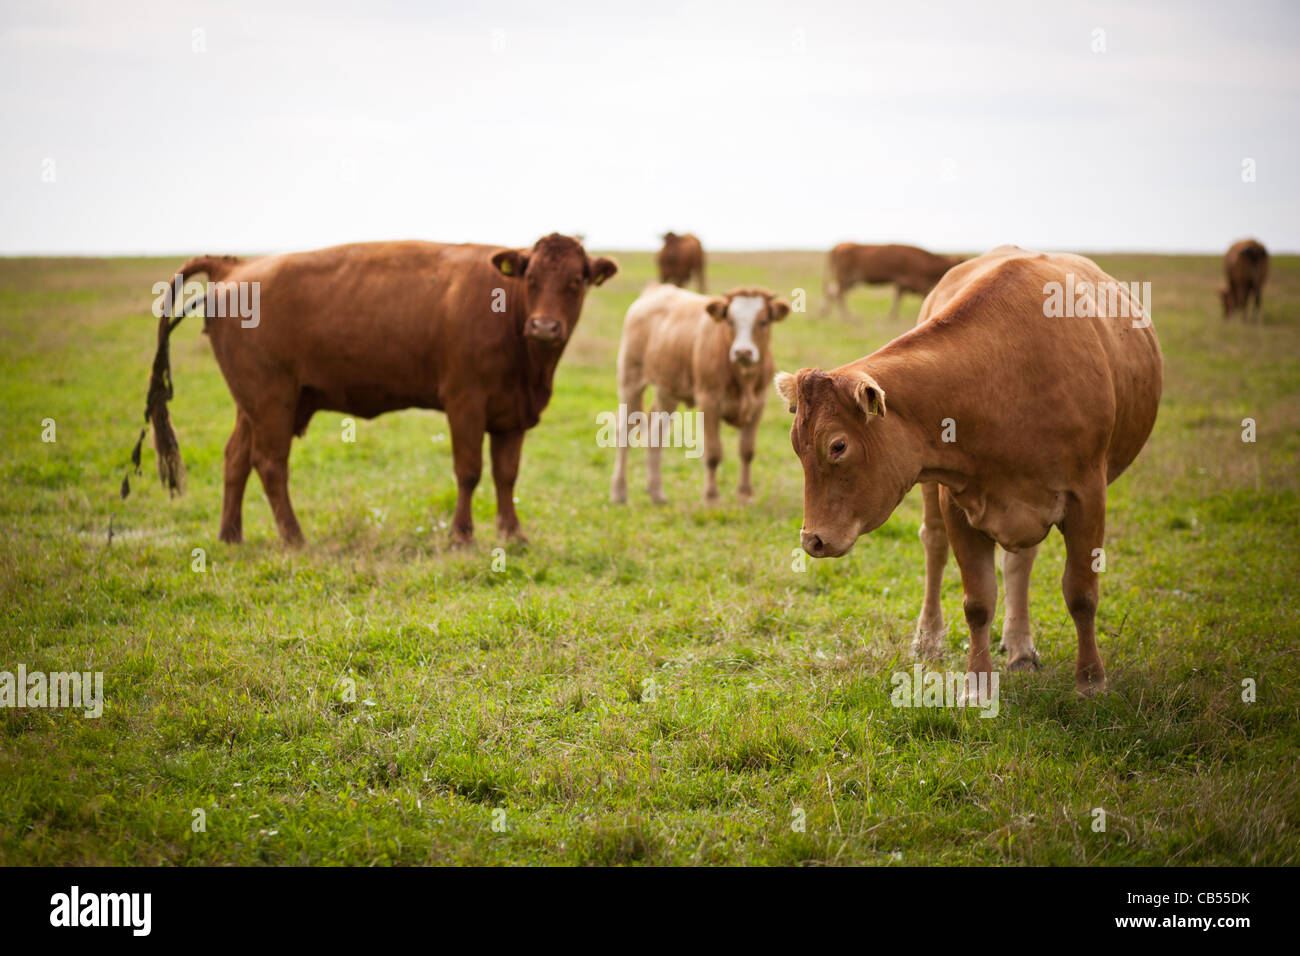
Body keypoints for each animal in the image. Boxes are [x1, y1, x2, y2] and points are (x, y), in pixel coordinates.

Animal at [127, 234, 617, 546]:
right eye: (531, 279)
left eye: (575, 281)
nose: (544, 326)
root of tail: (237, 265)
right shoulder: (465, 404)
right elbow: (469, 471)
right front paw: (462, 535)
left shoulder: (510, 415)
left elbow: (505, 475)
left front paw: (513, 534)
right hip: (271, 401)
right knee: (269, 464)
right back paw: (295, 538)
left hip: (254, 405)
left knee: (236, 459)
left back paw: (231, 536)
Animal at [611, 284, 789, 505]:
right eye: (730, 321)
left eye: (763, 322)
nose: (743, 352)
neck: (743, 378)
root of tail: (656, 289)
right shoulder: (709, 402)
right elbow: (713, 453)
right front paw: (711, 497)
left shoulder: (758, 405)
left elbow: (747, 451)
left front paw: (745, 494)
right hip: (631, 382)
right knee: (623, 433)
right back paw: (619, 492)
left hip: (667, 393)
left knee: (655, 435)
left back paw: (657, 492)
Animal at [820, 243, 964, 321]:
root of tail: (838, 246)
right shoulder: (917, 283)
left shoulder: (901, 285)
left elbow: (897, 300)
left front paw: (892, 317)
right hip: (846, 278)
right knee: (838, 294)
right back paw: (846, 317)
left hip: (849, 280)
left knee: (832, 292)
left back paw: (825, 313)